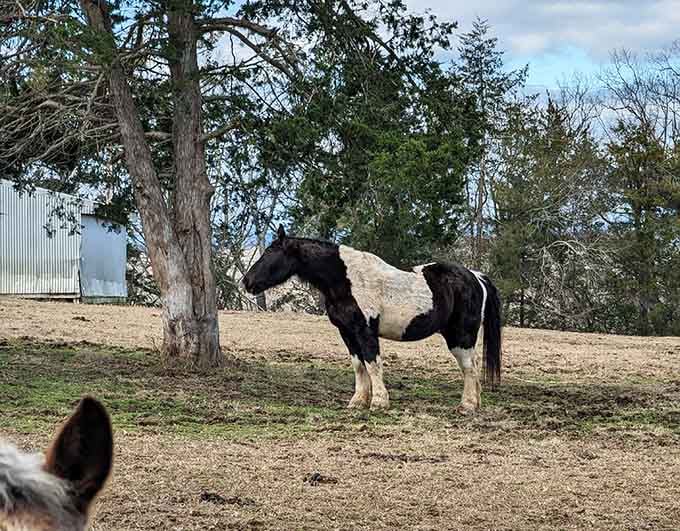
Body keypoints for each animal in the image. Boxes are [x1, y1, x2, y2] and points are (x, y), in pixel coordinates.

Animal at [242, 225, 502, 413]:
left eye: (269, 253)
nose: (246, 281)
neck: (346, 280)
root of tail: (475, 276)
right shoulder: (347, 332)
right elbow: (359, 366)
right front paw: (358, 401)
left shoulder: (365, 331)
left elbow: (373, 363)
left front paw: (378, 402)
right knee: (472, 368)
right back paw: (474, 403)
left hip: (461, 336)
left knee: (469, 368)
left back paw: (467, 405)